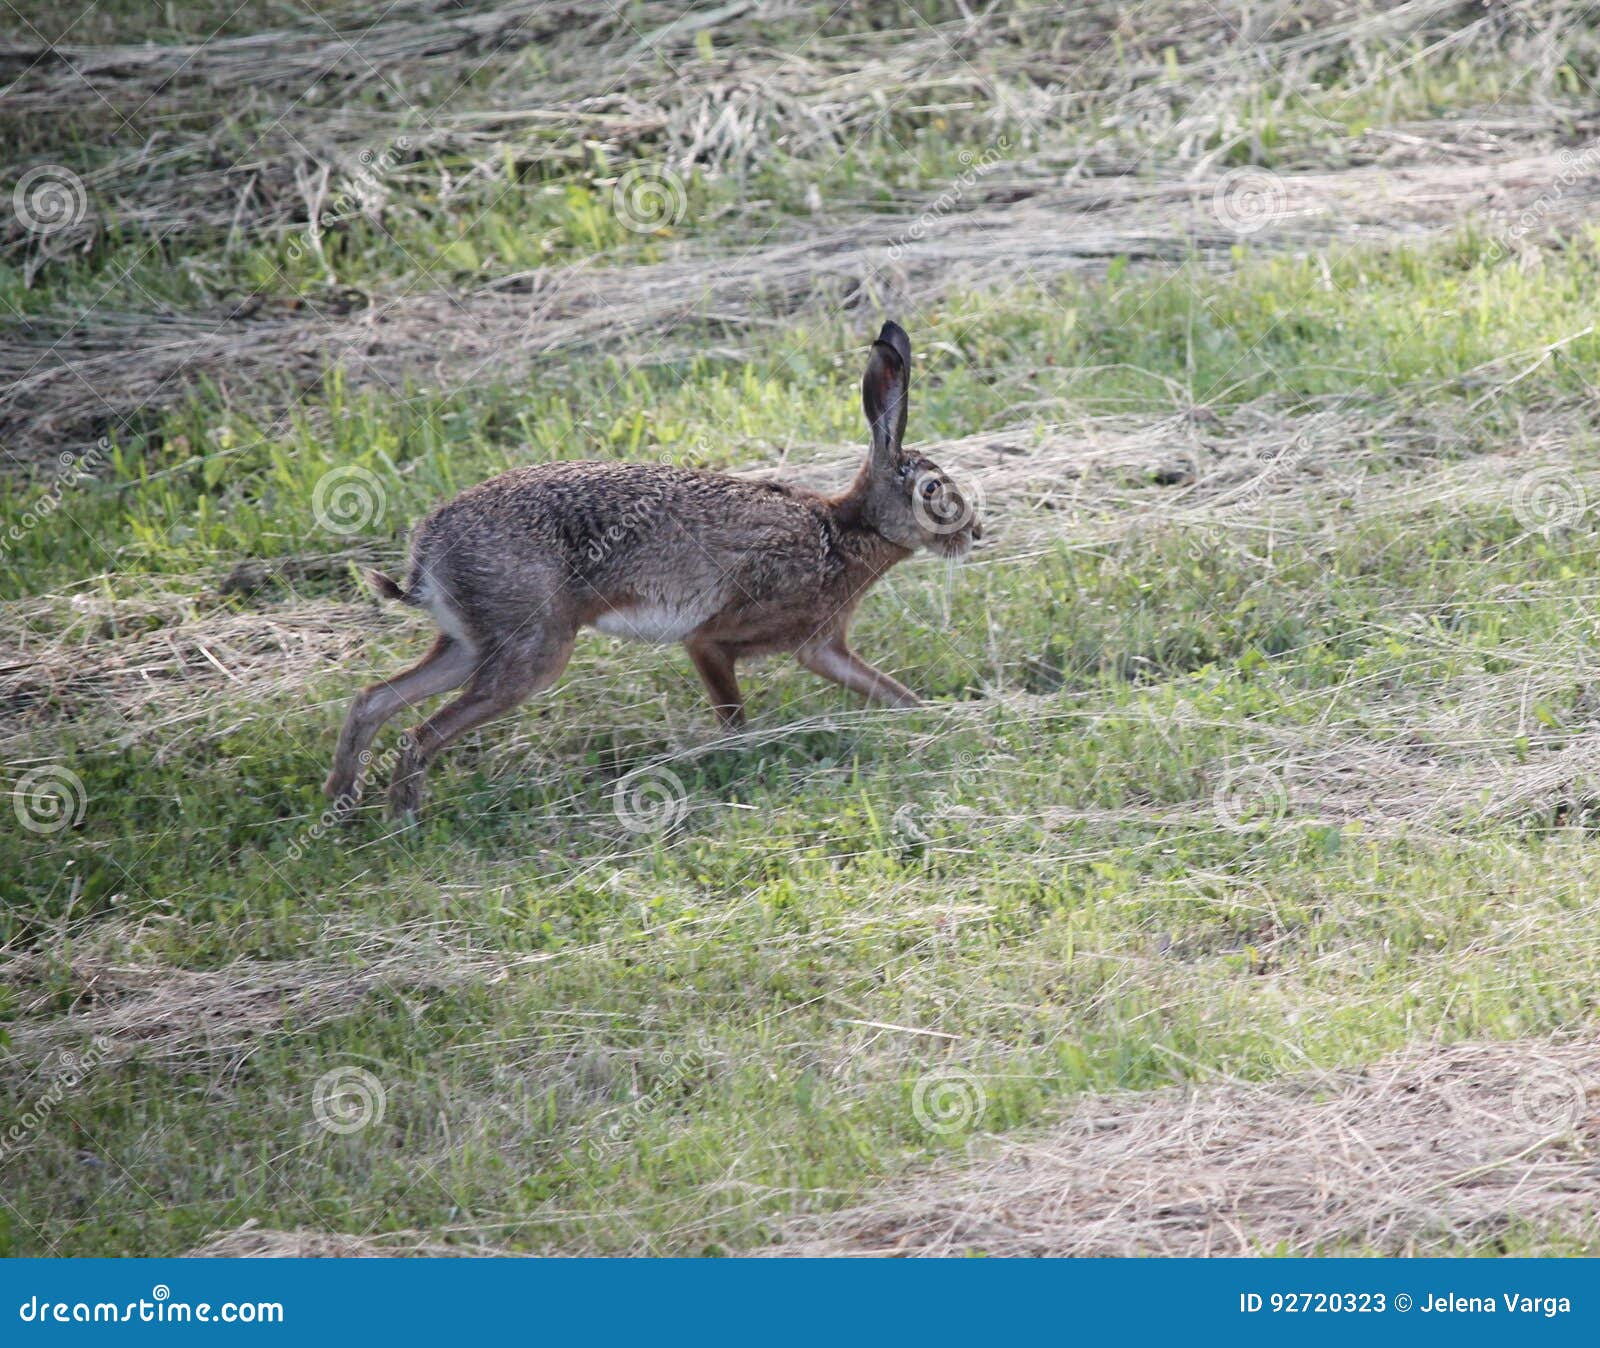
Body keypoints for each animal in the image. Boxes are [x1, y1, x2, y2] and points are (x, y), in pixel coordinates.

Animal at [324, 320, 981, 821]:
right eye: (932, 490)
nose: (974, 533)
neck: (845, 532)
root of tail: (428, 554)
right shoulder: (714, 639)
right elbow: (732, 715)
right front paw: (743, 760)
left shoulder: (821, 646)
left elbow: (884, 688)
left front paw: (929, 718)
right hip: (532, 649)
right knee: (422, 731)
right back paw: (402, 819)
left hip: (470, 642)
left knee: (374, 700)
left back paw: (343, 805)